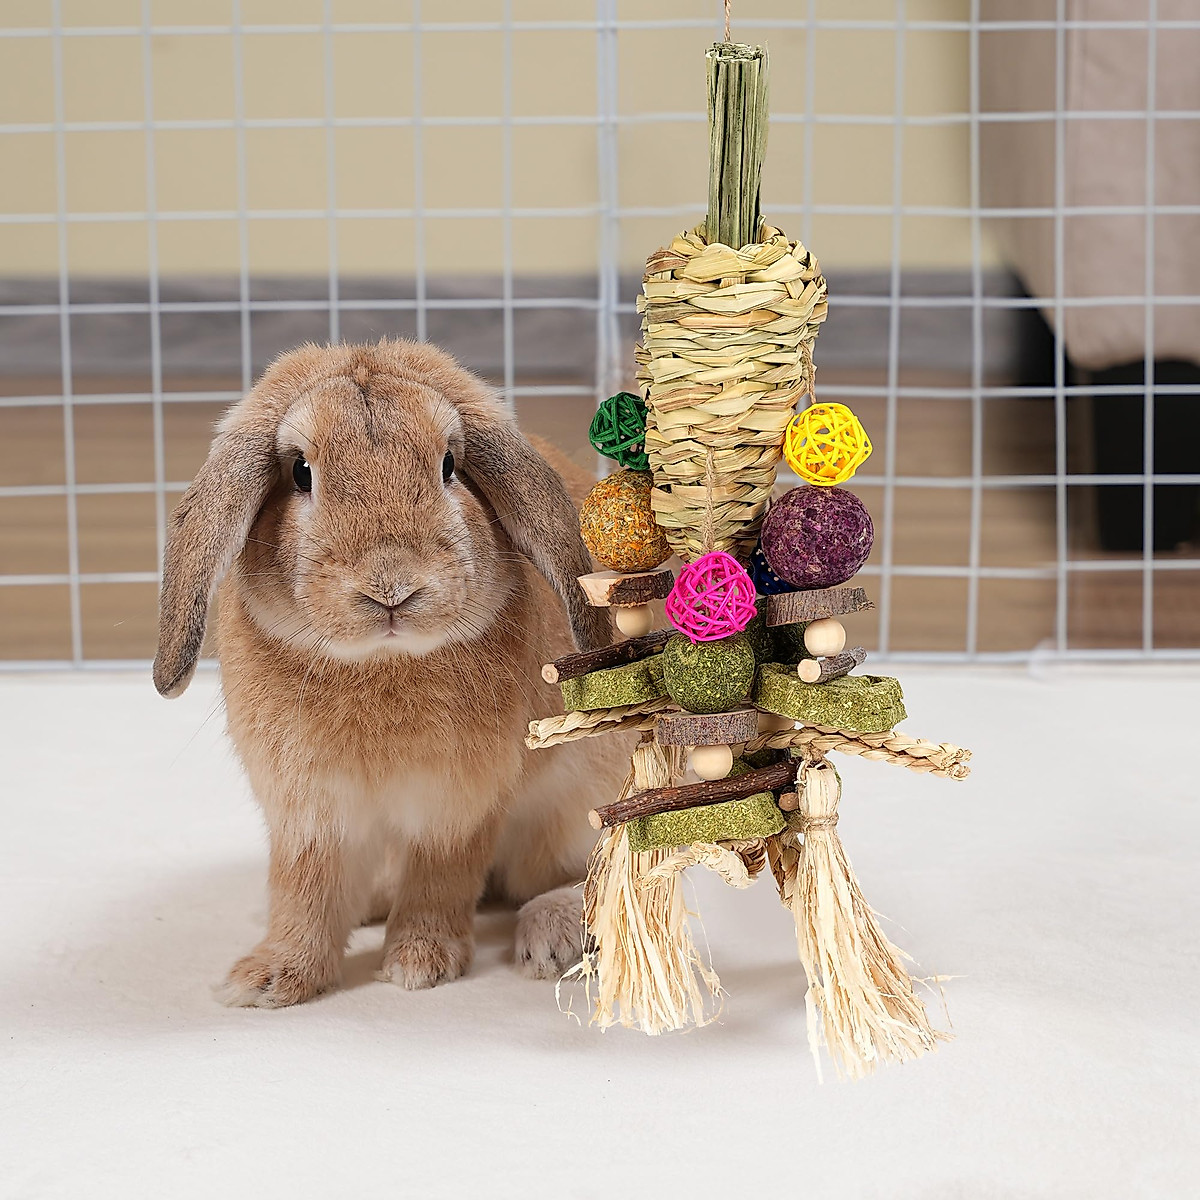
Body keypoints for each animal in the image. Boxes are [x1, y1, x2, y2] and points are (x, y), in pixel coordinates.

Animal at [153, 338, 632, 1007]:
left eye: (450, 465)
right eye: (300, 472)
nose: (392, 589)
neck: (380, 664)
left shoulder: (455, 809)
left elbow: (440, 880)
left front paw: (419, 963)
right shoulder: (309, 815)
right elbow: (305, 892)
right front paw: (267, 980)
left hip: (591, 800)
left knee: (603, 873)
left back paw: (552, 932)